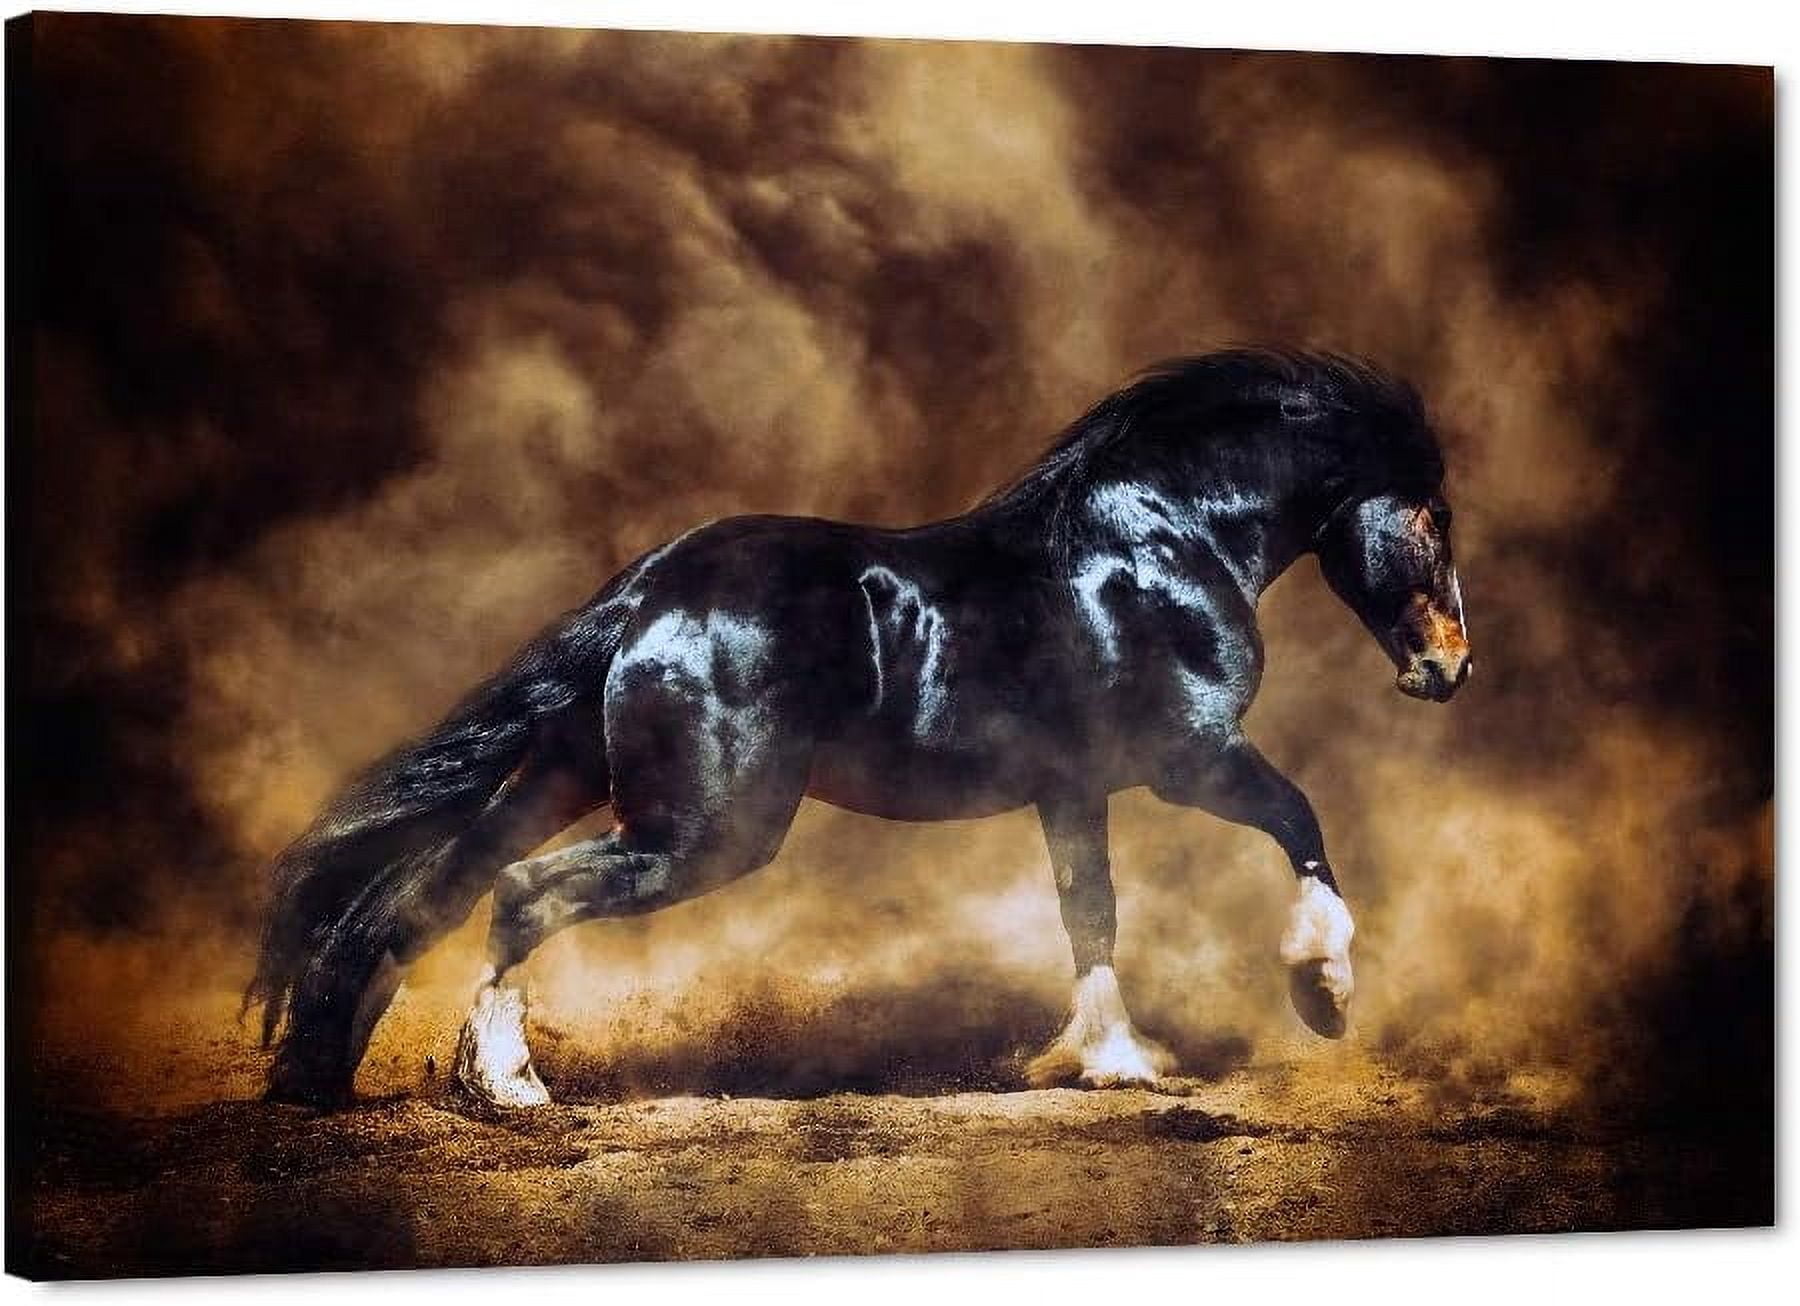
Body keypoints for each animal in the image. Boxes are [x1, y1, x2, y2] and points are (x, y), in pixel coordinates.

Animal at [246, 348, 1471, 1110]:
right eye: (1432, 514)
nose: (1449, 669)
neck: (1163, 542)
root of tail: (647, 594)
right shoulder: (1191, 758)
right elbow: (1299, 818)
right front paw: (1323, 991)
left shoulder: (1072, 789)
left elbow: (1091, 914)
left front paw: (1109, 1060)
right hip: (707, 830)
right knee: (518, 895)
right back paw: (507, 1085)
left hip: (567, 777)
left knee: (428, 890)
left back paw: (335, 1067)